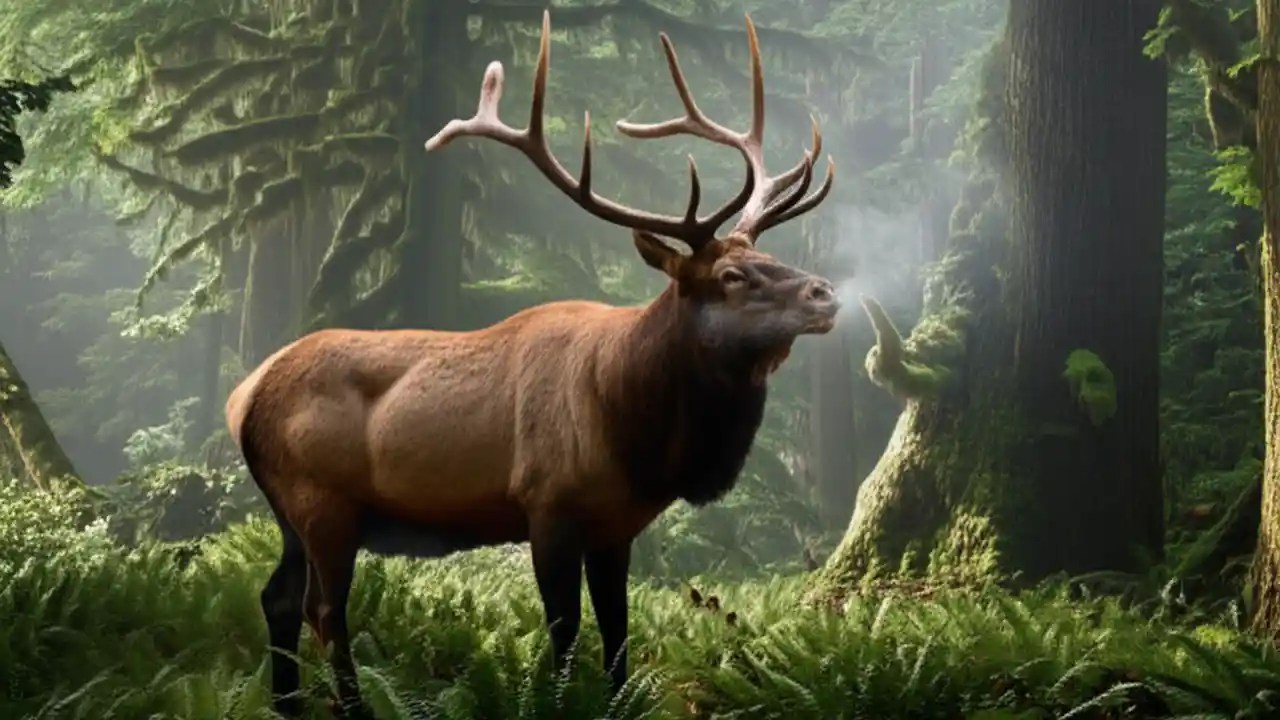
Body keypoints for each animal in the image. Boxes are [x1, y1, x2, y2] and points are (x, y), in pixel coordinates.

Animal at [225, 11, 837, 718]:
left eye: (770, 257)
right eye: (732, 275)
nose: (825, 293)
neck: (633, 432)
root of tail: (242, 398)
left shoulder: (616, 527)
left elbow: (619, 636)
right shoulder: (547, 504)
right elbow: (564, 633)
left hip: (288, 510)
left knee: (276, 597)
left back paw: (285, 704)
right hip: (321, 499)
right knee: (323, 610)